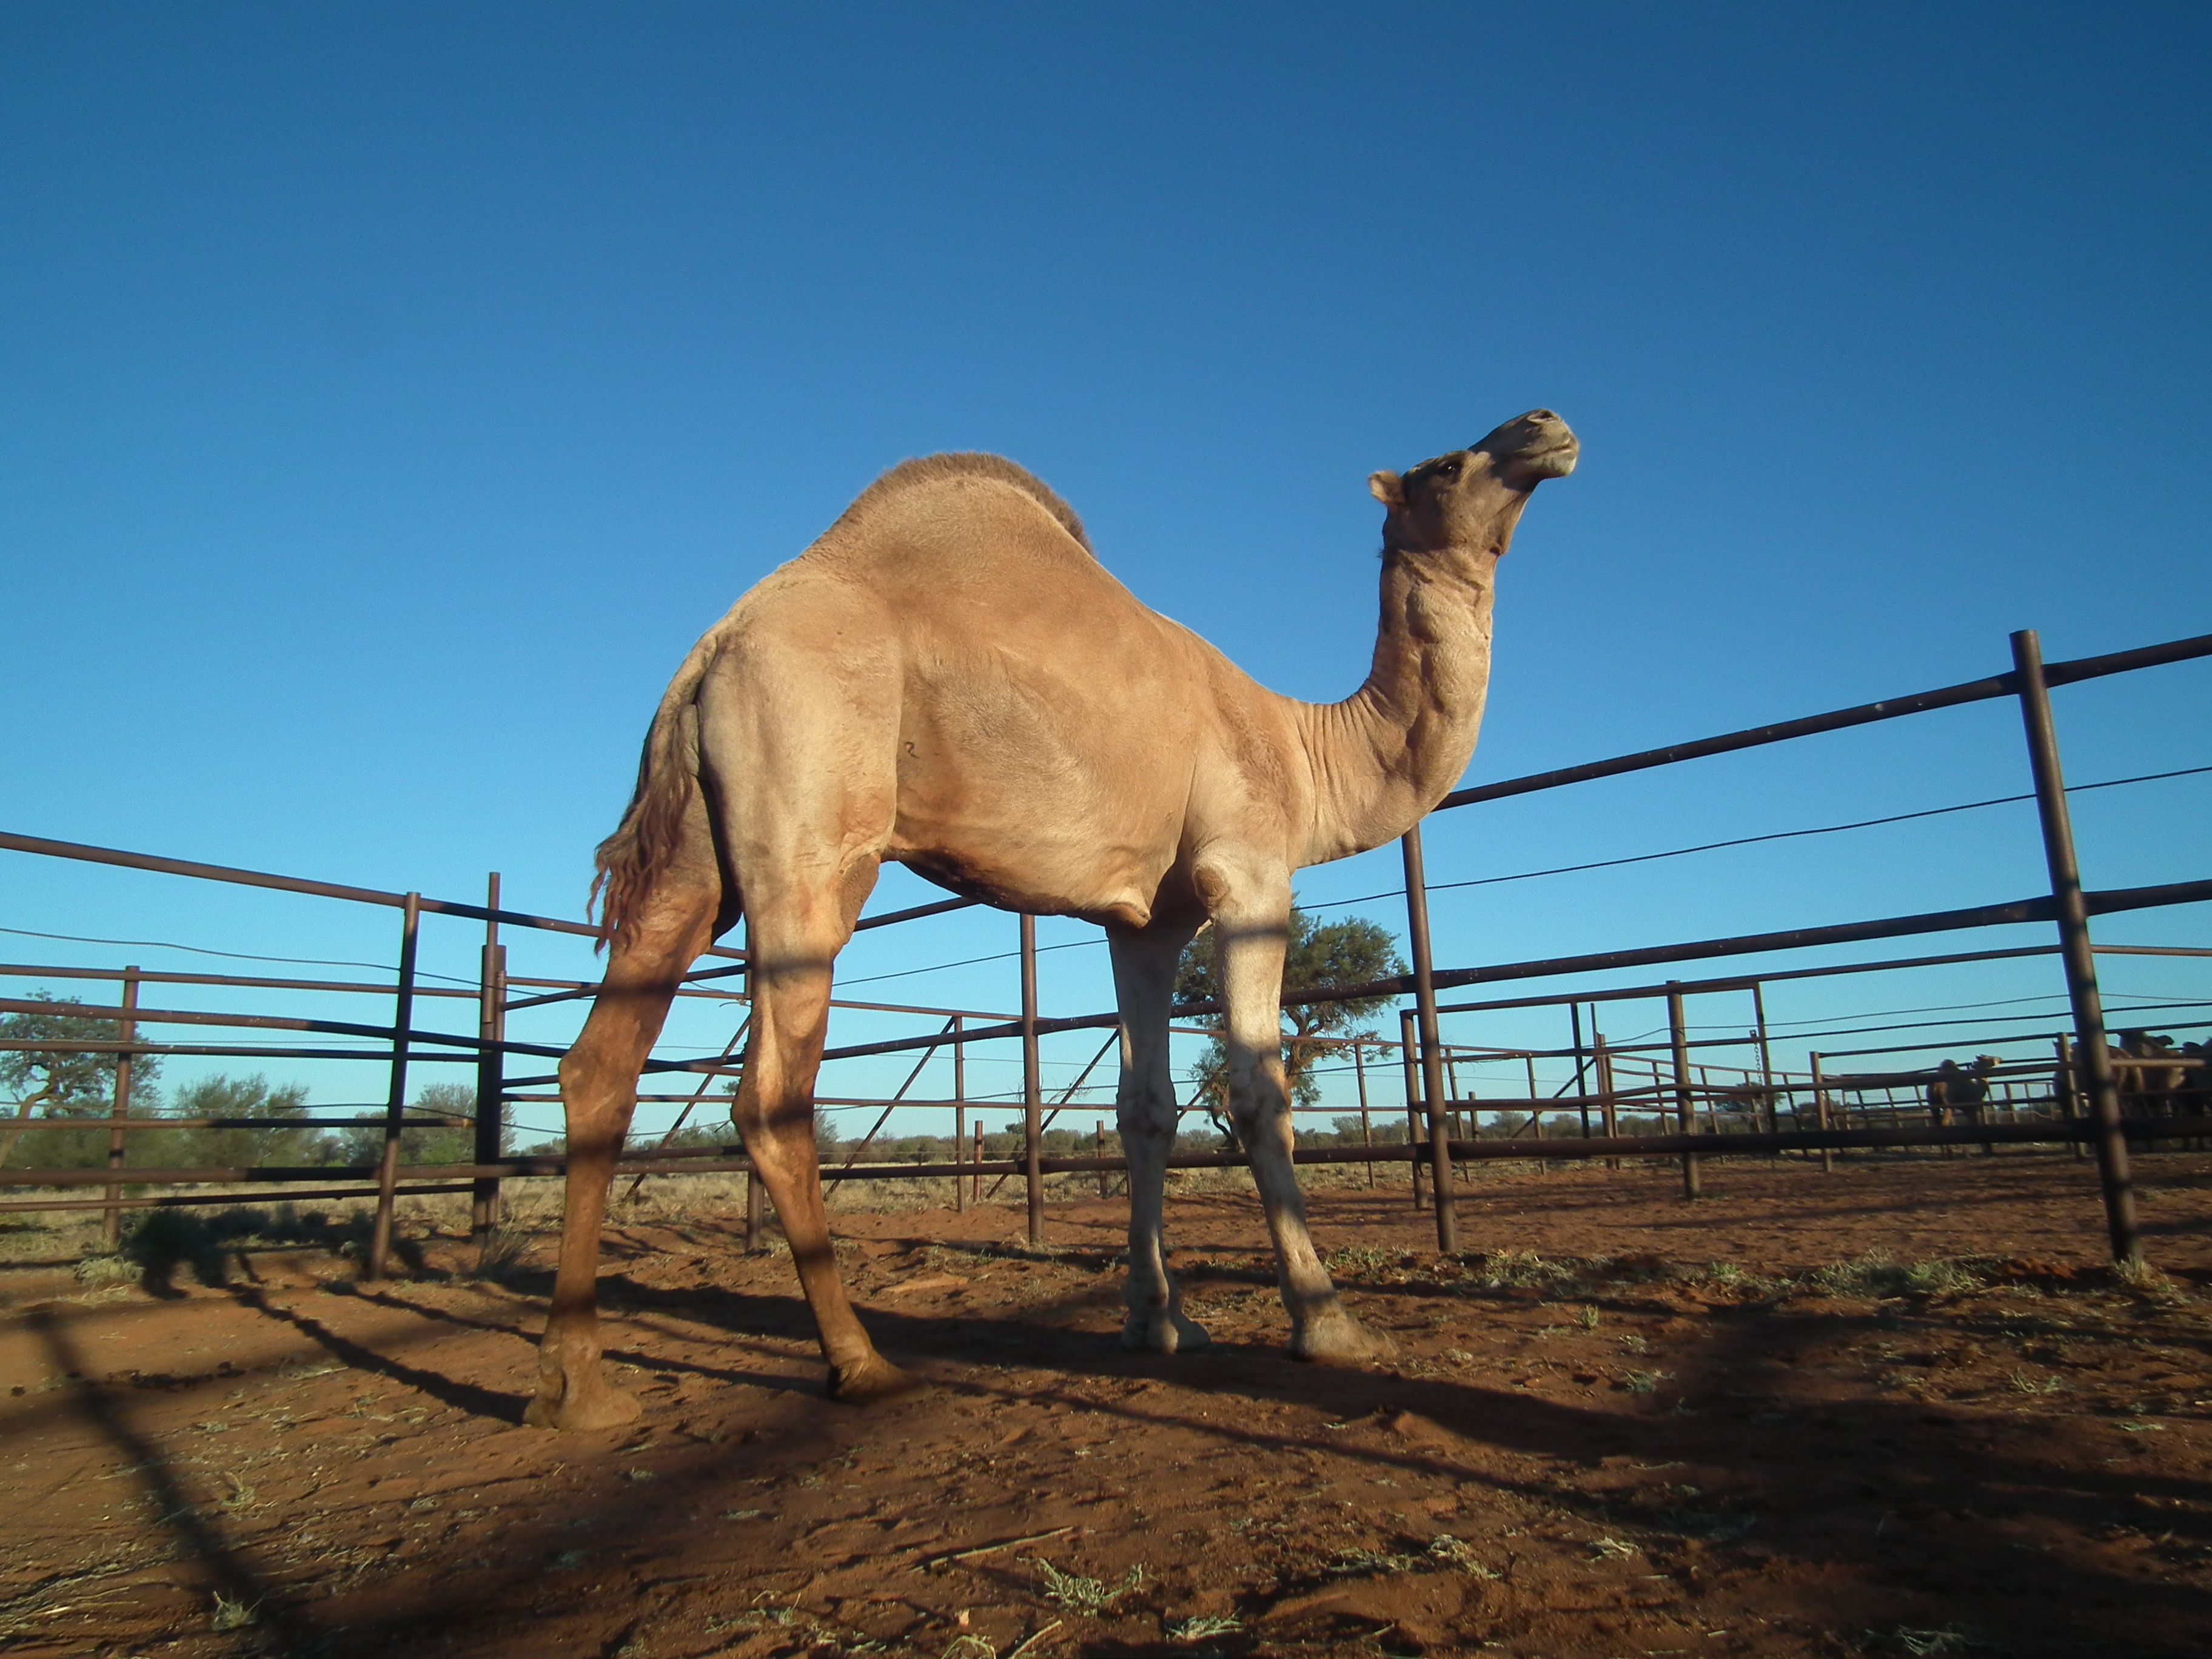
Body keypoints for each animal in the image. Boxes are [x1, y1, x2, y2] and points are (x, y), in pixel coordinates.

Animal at [527, 409, 1578, 1430]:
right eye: (1444, 465)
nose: (1546, 426)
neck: (1306, 748)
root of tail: (713, 649)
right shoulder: (1248, 874)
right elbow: (1258, 1094)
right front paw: (1330, 1324)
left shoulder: (1150, 919)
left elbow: (1146, 1107)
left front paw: (1158, 1322)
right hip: (815, 818)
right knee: (773, 1092)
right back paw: (861, 1364)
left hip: (695, 863)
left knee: (600, 1064)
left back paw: (579, 1387)